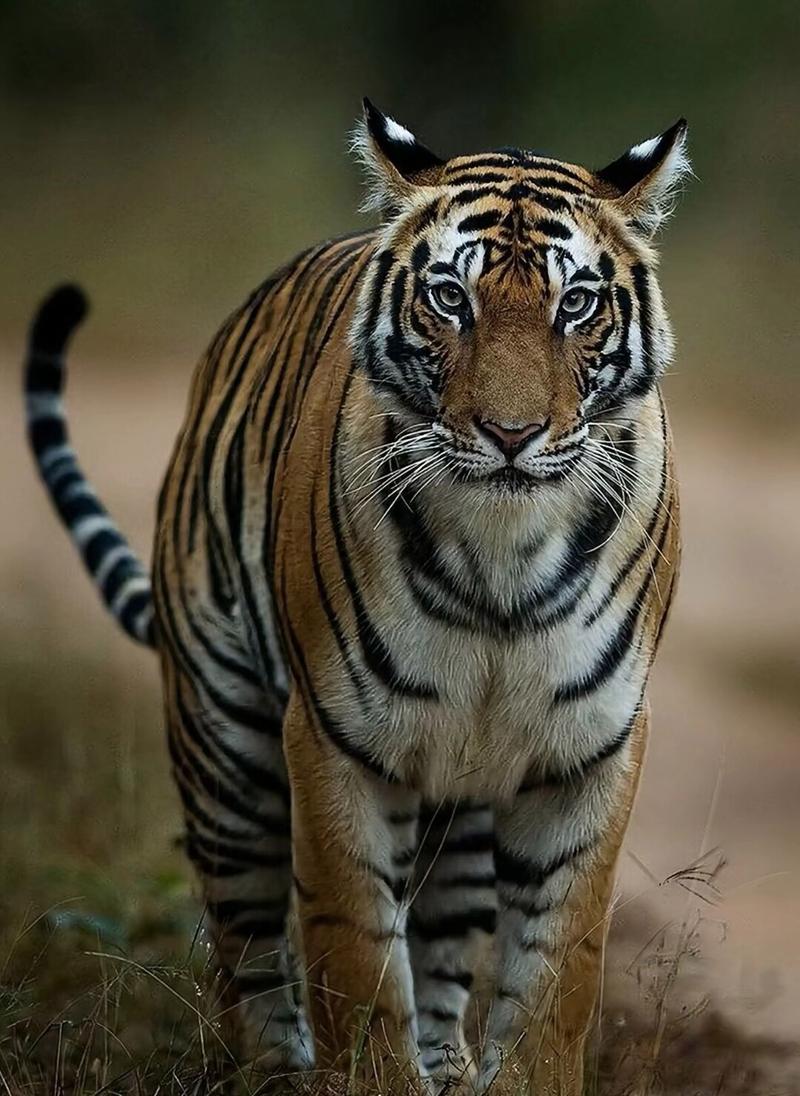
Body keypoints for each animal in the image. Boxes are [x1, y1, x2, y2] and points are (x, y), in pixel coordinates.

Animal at [24, 98, 688, 1094]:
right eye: (451, 297)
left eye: (575, 303)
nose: (512, 434)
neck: (503, 555)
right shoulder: (335, 737)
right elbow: (358, 958)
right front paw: (371, 1077)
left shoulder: (591, 749)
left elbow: (556, 973)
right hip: (227, 755)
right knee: (251, 948)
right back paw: (276, 1069)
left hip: (459, 798)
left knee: (446, 943)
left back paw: (448, 1068)